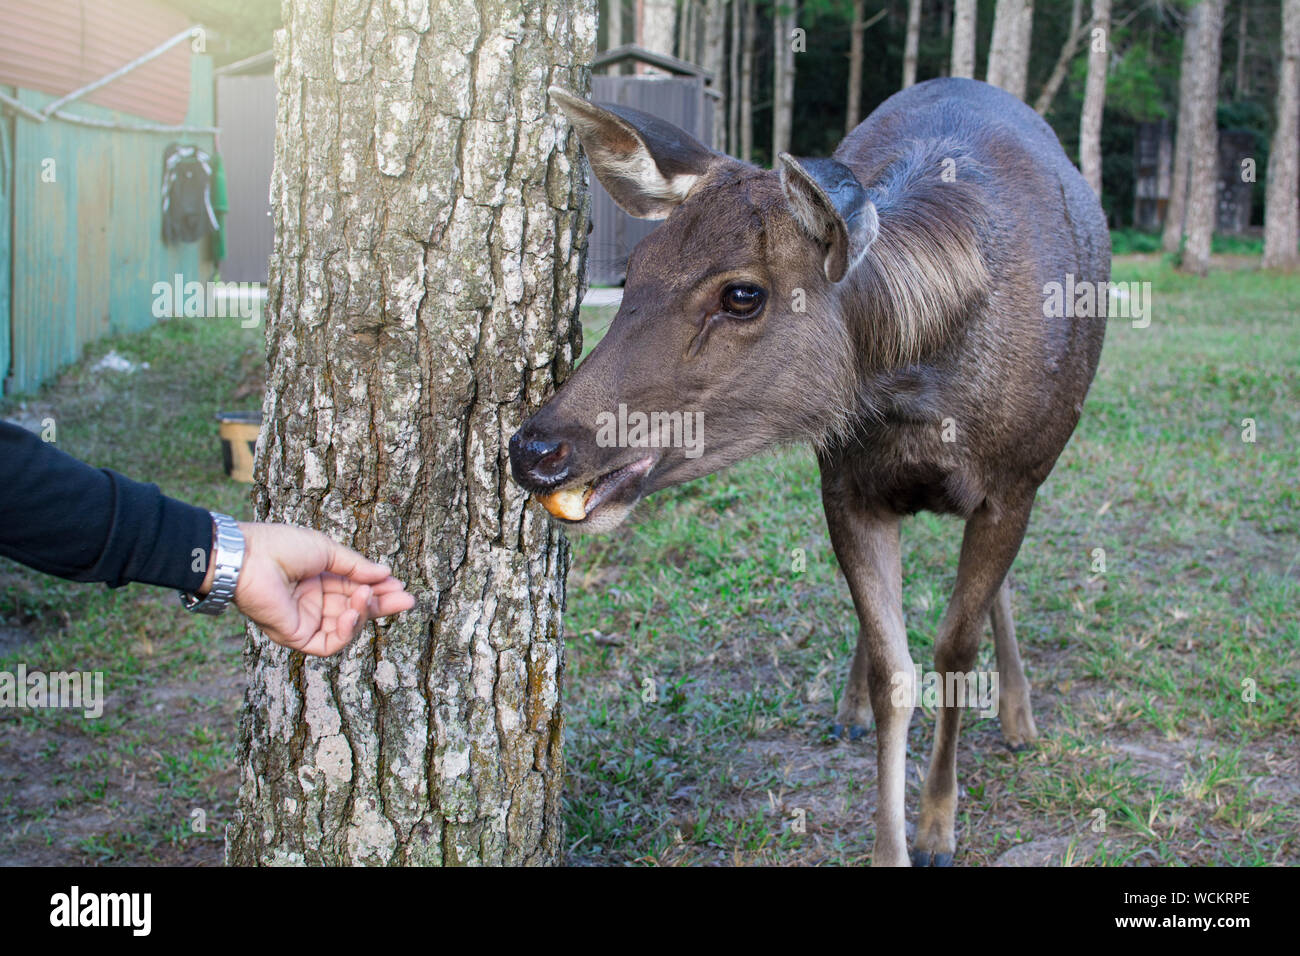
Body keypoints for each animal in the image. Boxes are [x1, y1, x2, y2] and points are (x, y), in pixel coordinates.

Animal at [509, 77, 1110, 866]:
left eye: (742, 294)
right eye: (633, 273)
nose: (535, 448)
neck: (923, 391)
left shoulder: (1012, 483)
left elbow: (954, 652)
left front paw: (939, 830)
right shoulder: (845, 485)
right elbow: (894, 672)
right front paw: (891, 846)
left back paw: (1019, 719)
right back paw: (852, 709)